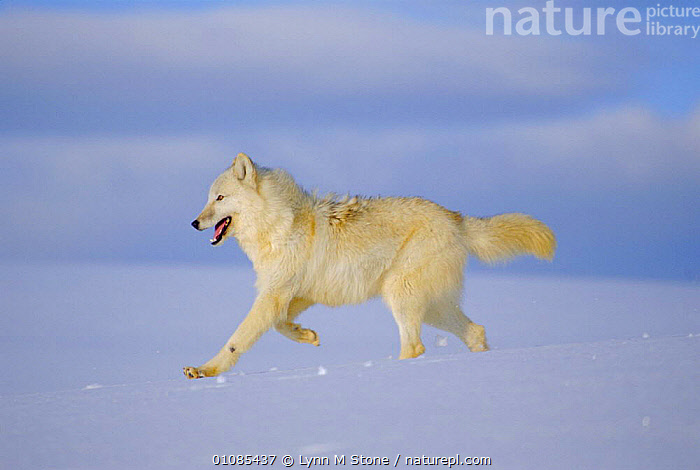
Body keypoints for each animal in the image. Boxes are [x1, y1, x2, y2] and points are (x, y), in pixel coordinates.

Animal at [183, 153, 556, 379]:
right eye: (208, 198)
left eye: (219, 198)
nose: (194, 223)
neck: (278, 224)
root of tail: (455, 217)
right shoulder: (294, 294)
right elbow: (280, 325)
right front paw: (309, 336)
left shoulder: (274, 294)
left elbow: (238, 338)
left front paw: (204, 370)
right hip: (432, 307)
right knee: (475, 330)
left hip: (400, 294)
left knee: (415, 346)